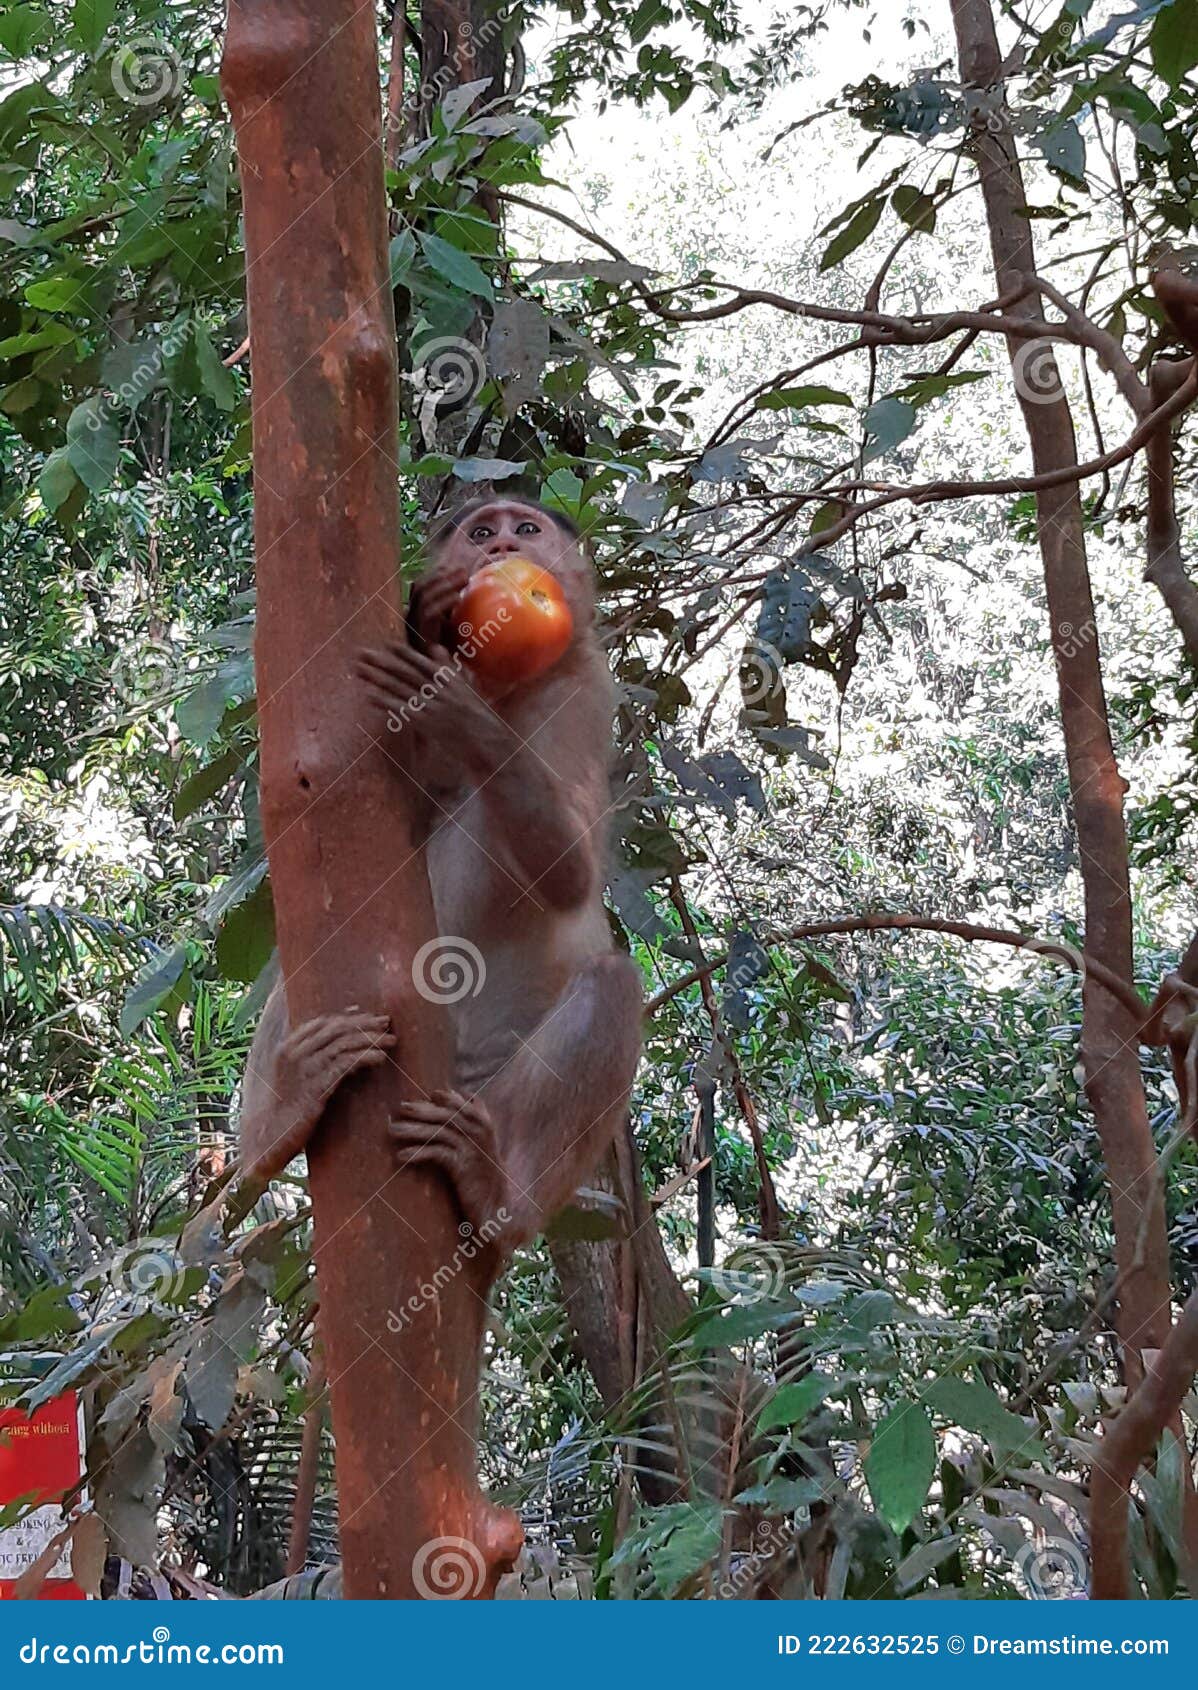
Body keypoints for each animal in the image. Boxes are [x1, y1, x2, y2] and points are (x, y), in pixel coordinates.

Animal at [238, 497, 644, 1259]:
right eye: (482, 533)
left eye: (527, 531)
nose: (503, 549)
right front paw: (425, 623)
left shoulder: (584, 692)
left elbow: (572, 876)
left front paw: (461, 711)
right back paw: (279, 1124)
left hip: (495, 1101)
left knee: (612, 982)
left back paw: (497, 1199)